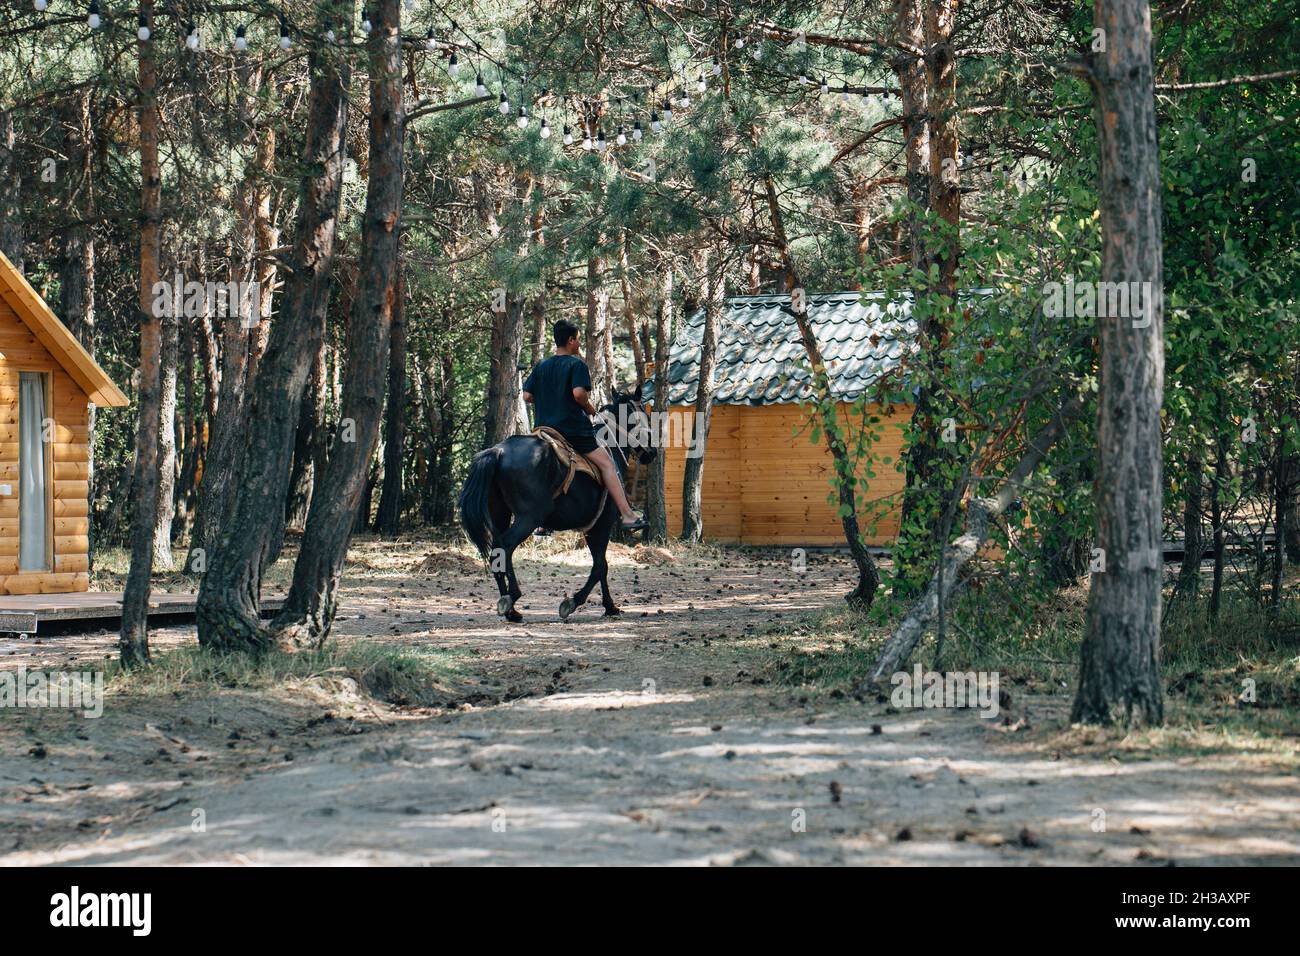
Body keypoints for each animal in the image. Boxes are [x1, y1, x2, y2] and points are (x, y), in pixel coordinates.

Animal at [459, 392, 657, 623]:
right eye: (644, 416)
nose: (652, 453)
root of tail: (497, 451)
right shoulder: (602, 525)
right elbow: (601, 566)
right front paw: (574, 602)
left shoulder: (592, 528)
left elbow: (602, 566)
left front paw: (609, 606)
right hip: (529, 517)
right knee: (505, 547)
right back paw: (512, 597)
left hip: (501, 514)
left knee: (497, 551)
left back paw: (511, 610)